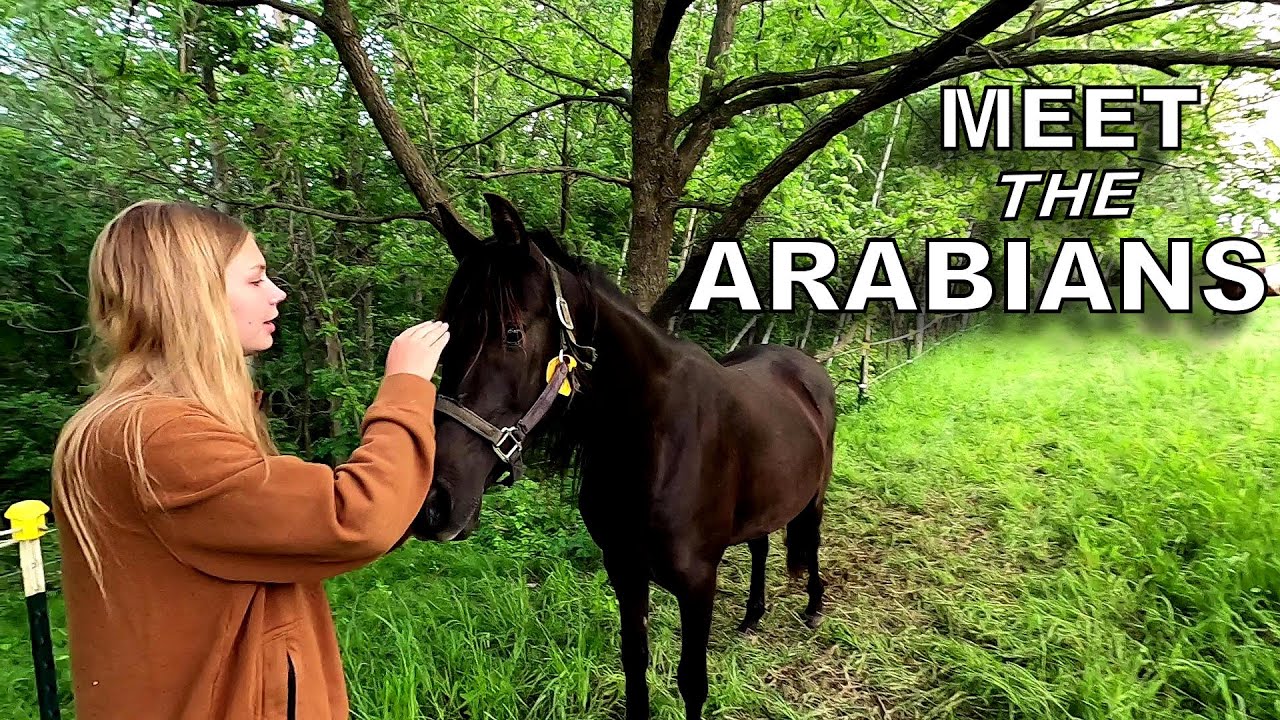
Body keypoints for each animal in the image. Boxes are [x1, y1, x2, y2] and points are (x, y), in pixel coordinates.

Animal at [411, 193, 838, 720]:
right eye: (448, 334)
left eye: (512, 334)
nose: (434, 503)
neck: (651, 443)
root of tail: (807, 368)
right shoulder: (624, 568)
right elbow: (635, 663)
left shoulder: (698, 582)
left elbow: (691, 682)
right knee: (760, 543)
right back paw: (753, 615)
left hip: (814, 495)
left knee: (812, 538)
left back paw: (814, 606)